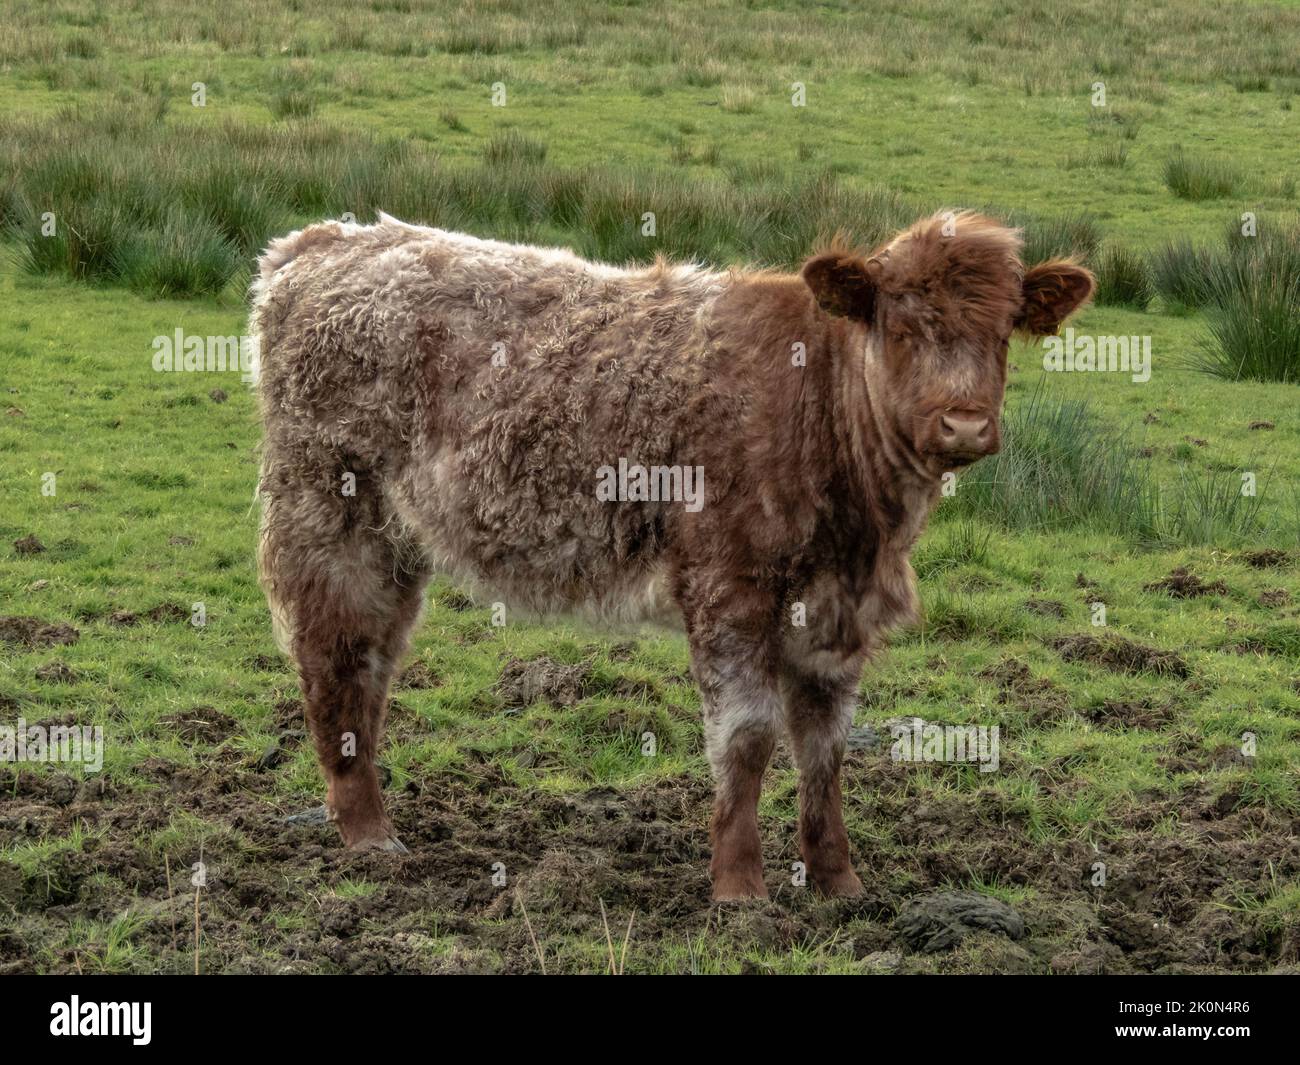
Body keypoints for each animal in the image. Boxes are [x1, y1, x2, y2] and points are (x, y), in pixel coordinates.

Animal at [252, 210, 1093, 900]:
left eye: (1002, 331)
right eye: (902, 325)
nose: (964, 423)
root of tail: (327, 241)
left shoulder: (835, 613)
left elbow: (824, 746)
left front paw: (838, 881)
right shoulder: (730, 585)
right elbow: (747, 738)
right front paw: (741, 888)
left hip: (395, 543)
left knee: (372, 662)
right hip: (331, 514)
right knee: (332, 655)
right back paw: (369, 835)